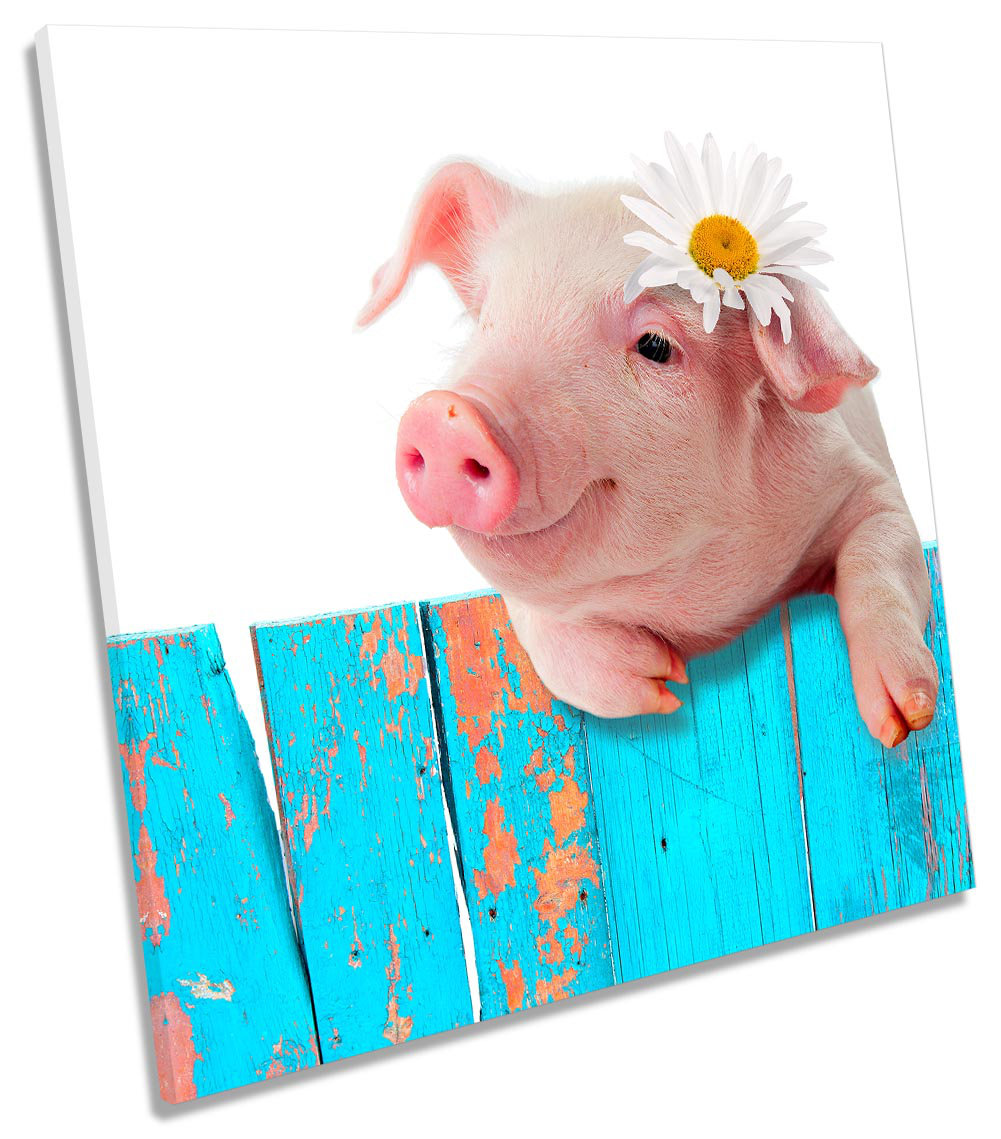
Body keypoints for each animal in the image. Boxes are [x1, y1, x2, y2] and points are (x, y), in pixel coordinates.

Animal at [357, 160, 937, 750]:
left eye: (655, 345)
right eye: (485, 322)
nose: (446, 416)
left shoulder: (862, 481)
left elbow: (882, 555)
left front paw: (905, 717)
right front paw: (664, 683)